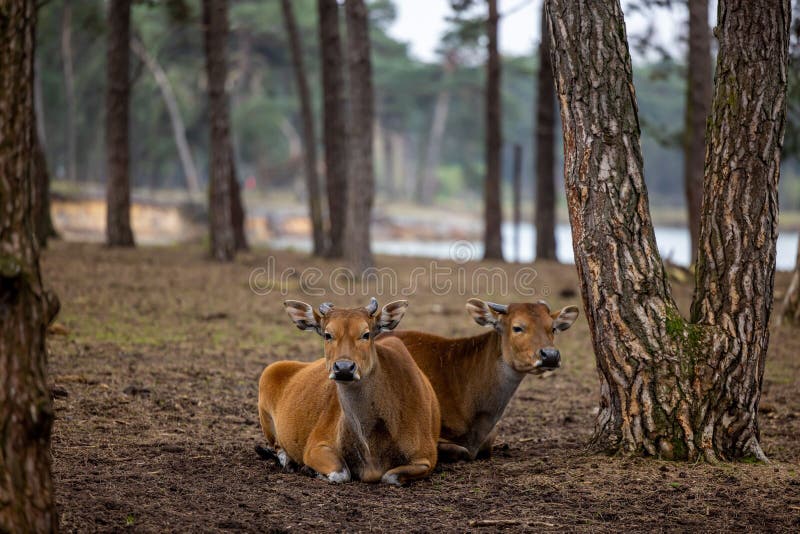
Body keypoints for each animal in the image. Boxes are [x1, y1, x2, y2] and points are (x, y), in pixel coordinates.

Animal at [257, 298, 440, 485]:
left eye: (366, 334)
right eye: (328, 334)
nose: (344, 368)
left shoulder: (427, 459)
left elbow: (389, 476)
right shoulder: (315, 446)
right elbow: (341, 473)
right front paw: (310, 469)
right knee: (278, 446)